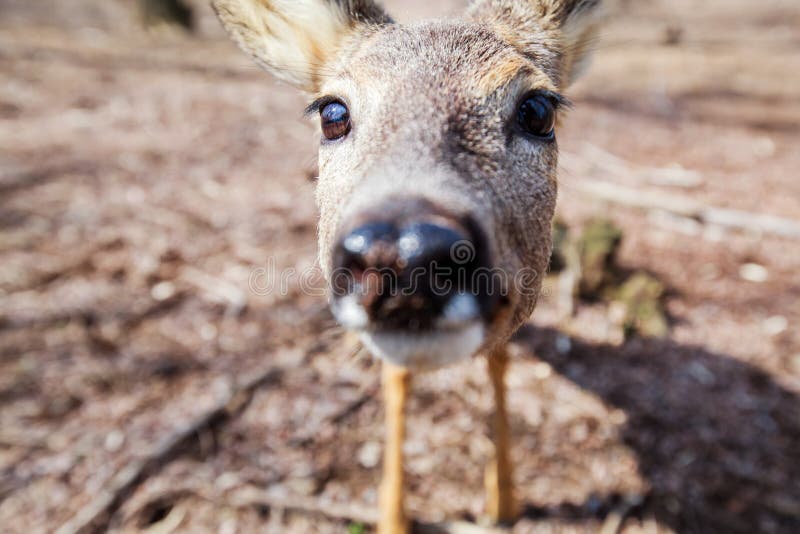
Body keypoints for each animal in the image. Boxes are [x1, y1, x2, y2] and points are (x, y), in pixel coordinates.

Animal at [212, 0, 602, 531]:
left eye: (537, 110)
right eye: (332, 112)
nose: (401, 252)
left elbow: (499, 361)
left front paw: (503, 499)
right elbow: (396, 379)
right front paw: (393, 515)